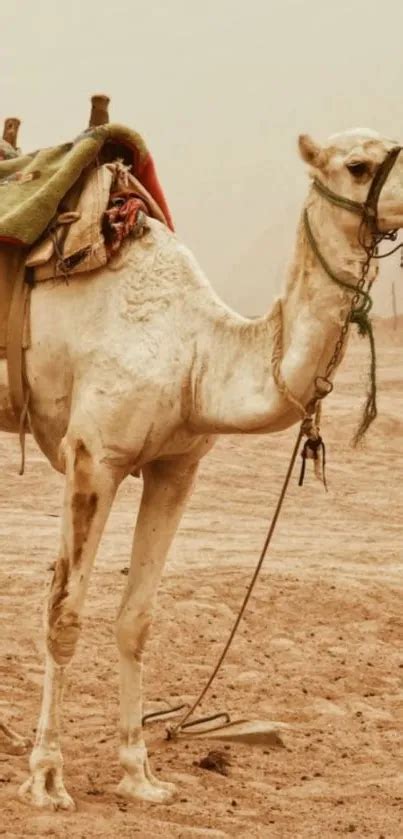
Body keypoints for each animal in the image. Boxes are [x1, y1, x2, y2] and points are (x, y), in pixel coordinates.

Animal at [1, 127, 403, 811]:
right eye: (357, 164)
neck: (197, 354)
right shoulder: (93, 457)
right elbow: (63, 615)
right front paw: (47, 779)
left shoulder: (177, 467)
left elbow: (136, 619)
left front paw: (139, 775)